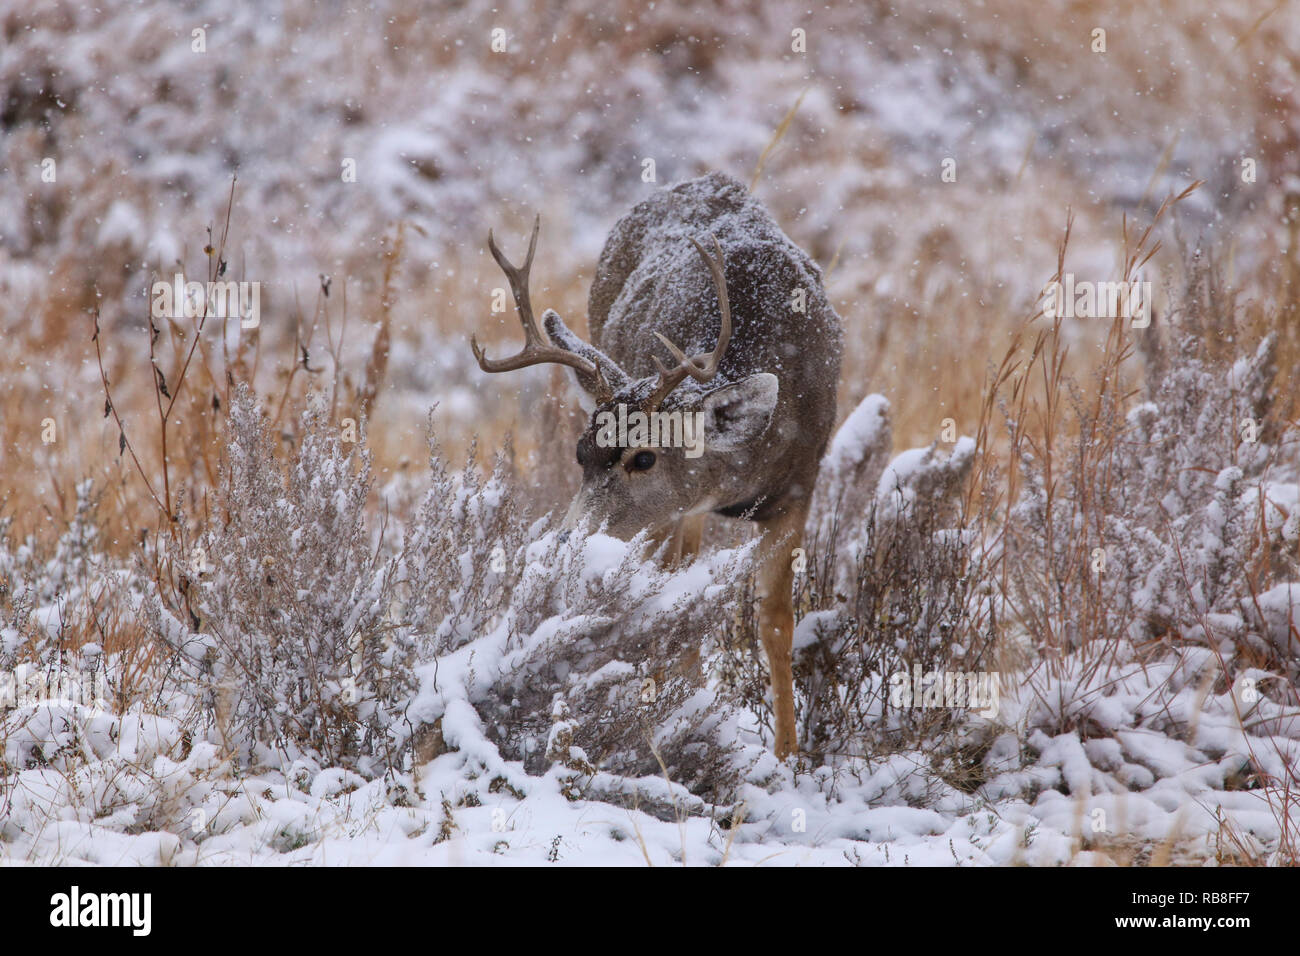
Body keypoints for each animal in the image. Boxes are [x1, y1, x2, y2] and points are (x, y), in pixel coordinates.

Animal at [471, 172, 843, 759]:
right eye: (580, 452)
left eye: (643, 457)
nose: (565, 542)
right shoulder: (675, 513)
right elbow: (673, 614)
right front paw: (681, 726)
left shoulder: (798, 489)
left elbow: (776, 623)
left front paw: (788, 754)